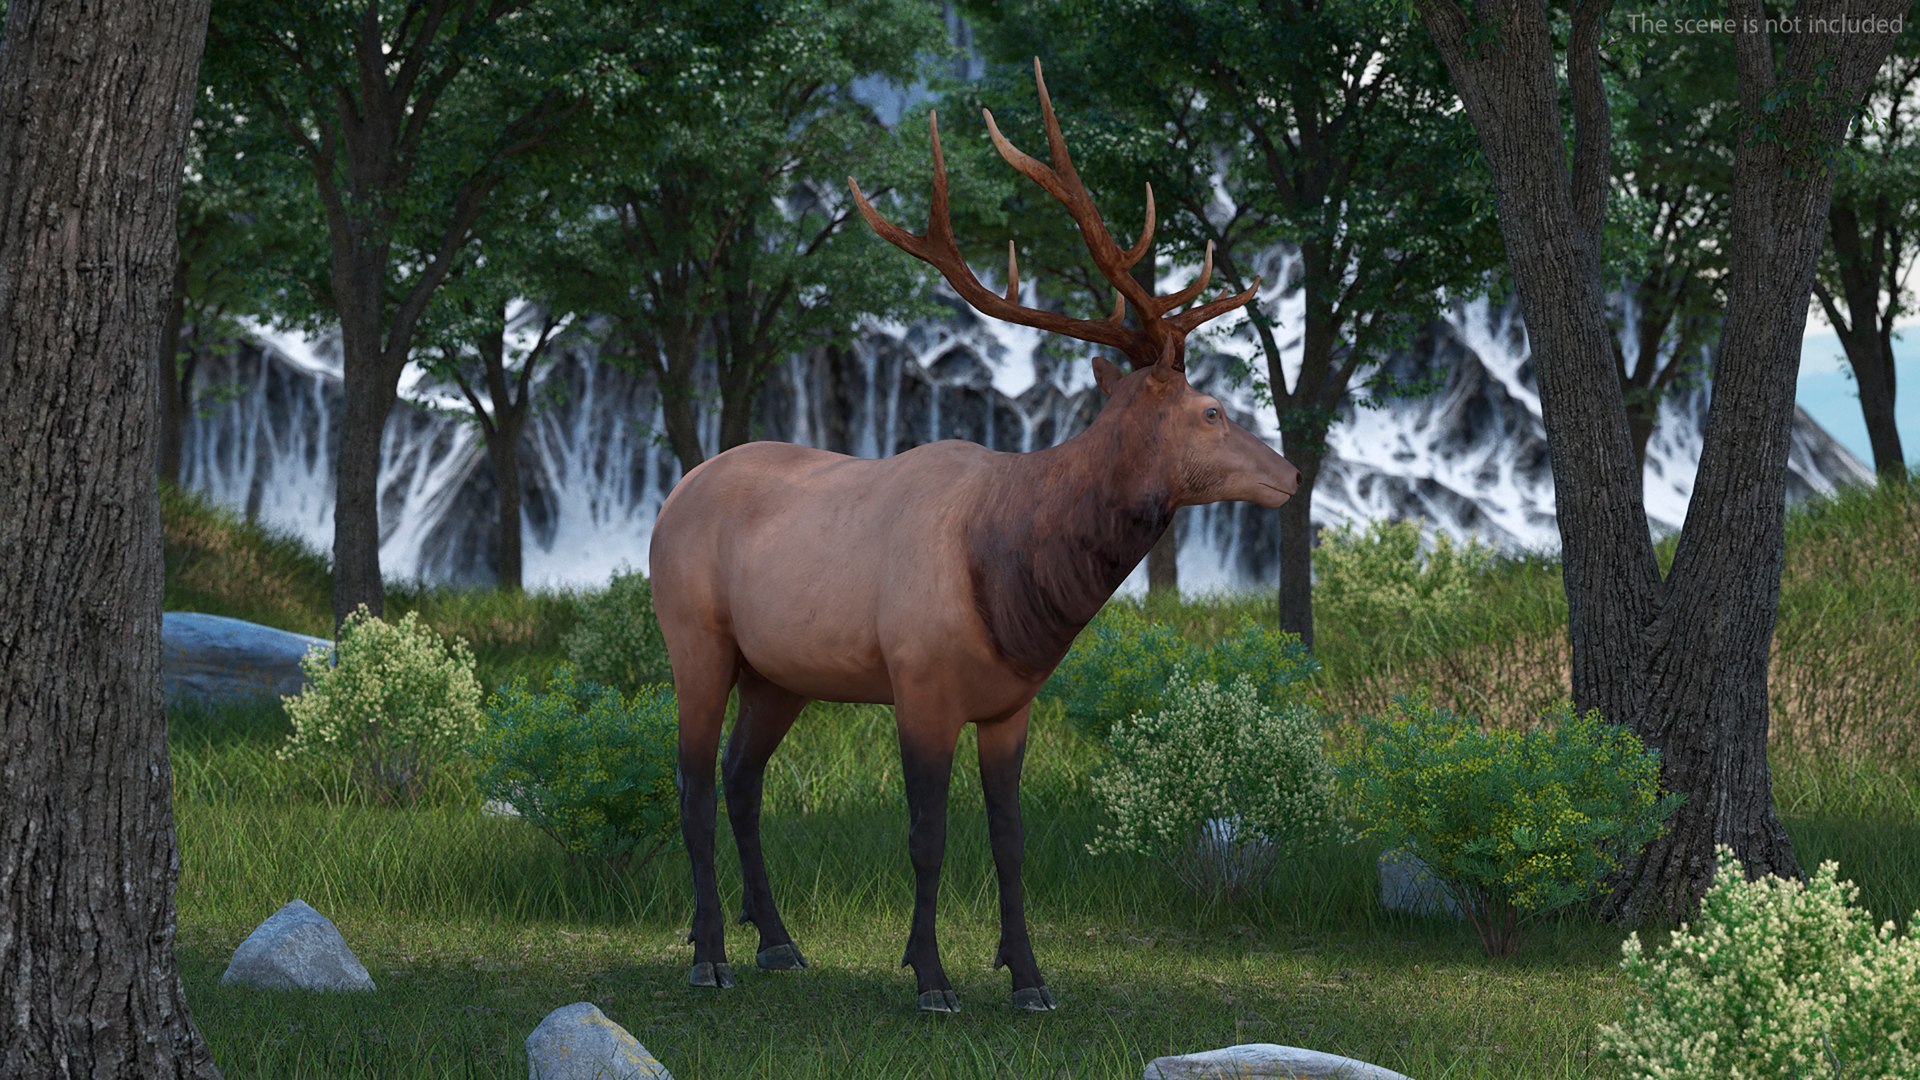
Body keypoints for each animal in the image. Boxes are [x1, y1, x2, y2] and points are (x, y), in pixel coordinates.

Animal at [648, 59, 1300, 1014]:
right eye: (1212, 410)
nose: (1292, 475)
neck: (1018, 591)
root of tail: (671, 496)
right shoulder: (919, 683)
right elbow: (926, 837)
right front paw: (930, 977)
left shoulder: (1010, 703)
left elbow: (1010, 838)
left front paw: (1029, 978)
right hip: (695, 636)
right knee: (693, 779)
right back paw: (709, 954)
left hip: (780, 673)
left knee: (741, 777)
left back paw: (777, 940)